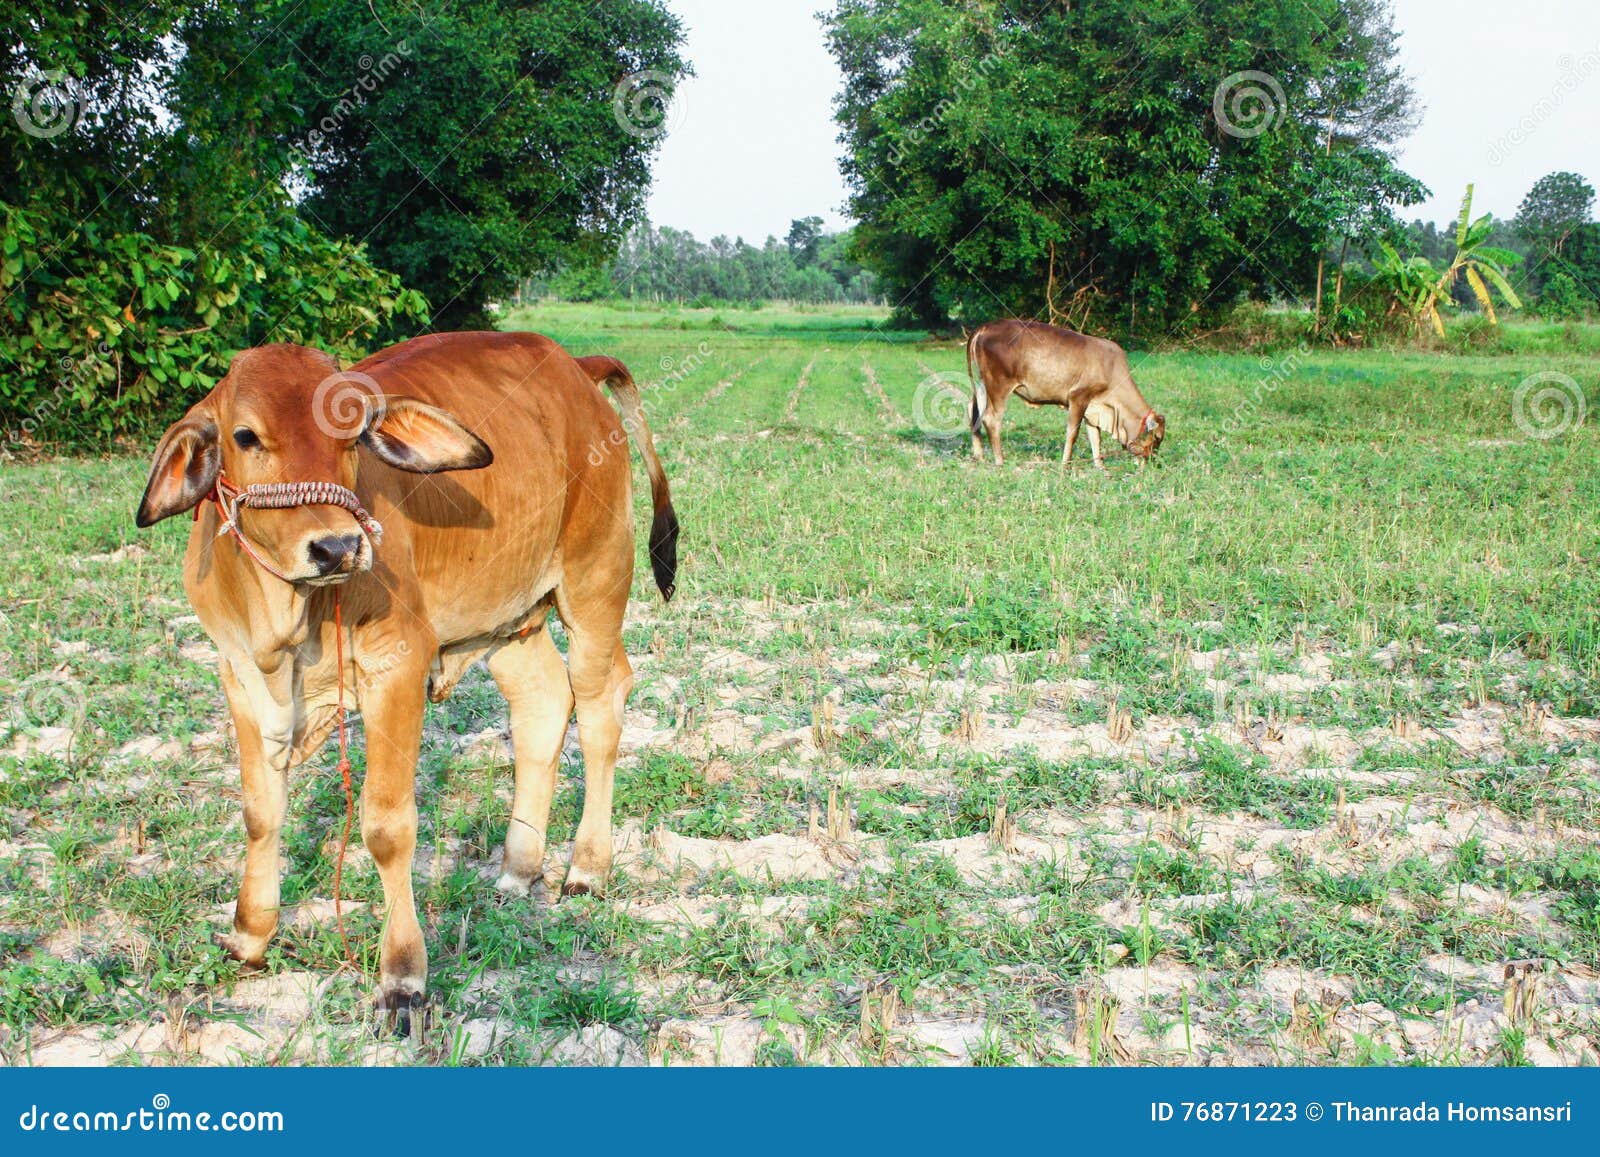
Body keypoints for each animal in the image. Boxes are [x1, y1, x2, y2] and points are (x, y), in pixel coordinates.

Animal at [135, 331, 678, 1025]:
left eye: (353, 438)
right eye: (246, 435)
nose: (337, 548)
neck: (286, 619)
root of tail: (574, 367)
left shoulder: (397, 665)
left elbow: (387, 827)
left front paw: (402, 977)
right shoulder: (237, 673)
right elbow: (260, 811)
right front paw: (250, 934)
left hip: (596, 581)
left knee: (602, 706)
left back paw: (586, 867)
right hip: (511, 618)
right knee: (543, 706)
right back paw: (519, 866)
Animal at [966, 319, 1166, 467]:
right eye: (1157, 437)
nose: (1153, 461)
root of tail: (985, 327)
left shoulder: (1093, 407)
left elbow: (1095, 436)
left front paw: (1100, 466)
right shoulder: (1078, 397)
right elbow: (1073, 433)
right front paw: (1066, 465)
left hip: (981, 385)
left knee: (973, 412)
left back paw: (979, 456)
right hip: (998, 386)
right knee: (991, 418)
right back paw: (999, 460)